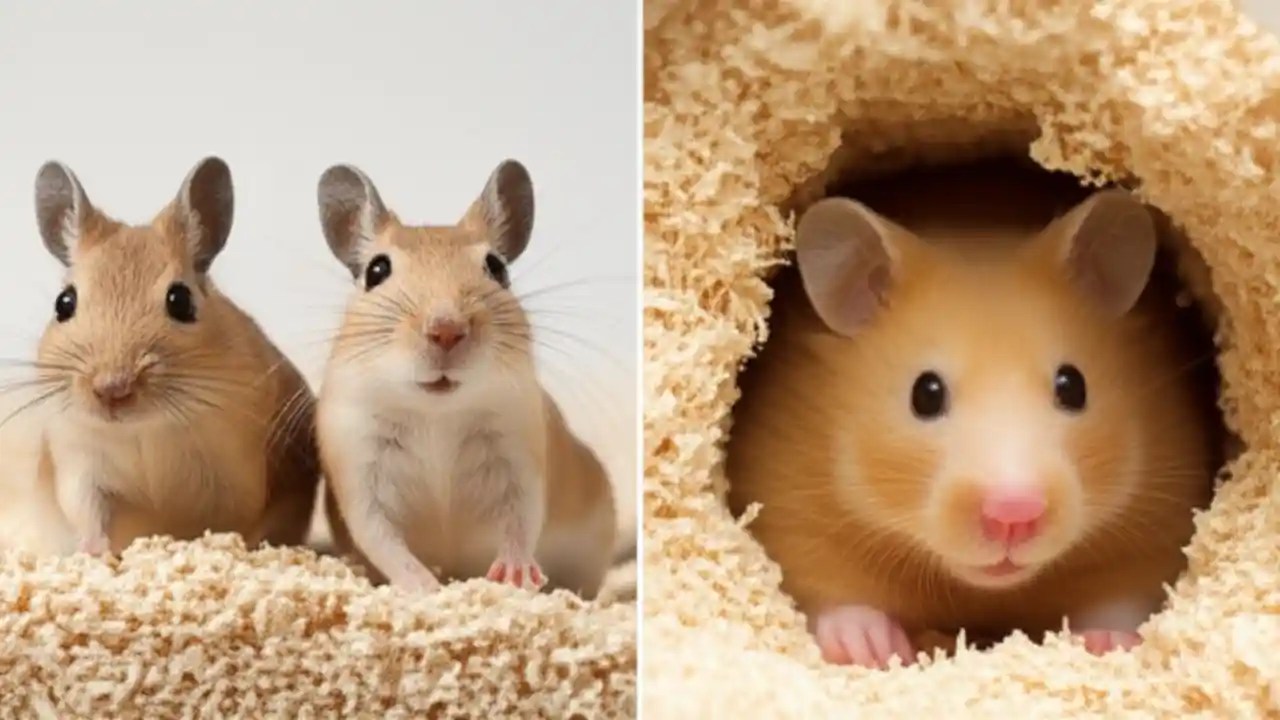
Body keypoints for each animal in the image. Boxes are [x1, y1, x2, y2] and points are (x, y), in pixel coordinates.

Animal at [29, 157, 321, 555]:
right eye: (64, 304)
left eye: (180, 300)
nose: (111, 389)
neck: (145, 426)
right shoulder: (80, 465)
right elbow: (90, 515)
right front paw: (94, 553)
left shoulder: (237, 481)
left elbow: (231, 524)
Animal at [314, 159, 616, 598]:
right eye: (376, 270)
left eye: (496, 268)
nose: (446, 330)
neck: (436, 412)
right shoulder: (359, 474)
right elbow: (383, 542)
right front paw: (426, 587)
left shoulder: (520, 455)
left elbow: (522, 522)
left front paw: (513, 576)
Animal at [726, 179, 1220, 669]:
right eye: (925, 394)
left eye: (1072, 386)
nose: (1014, 514)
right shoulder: (792, 514)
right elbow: (833, 596)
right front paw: (872, 648)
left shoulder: (1153, 529)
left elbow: (1121, 602)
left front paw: (1105, 643)